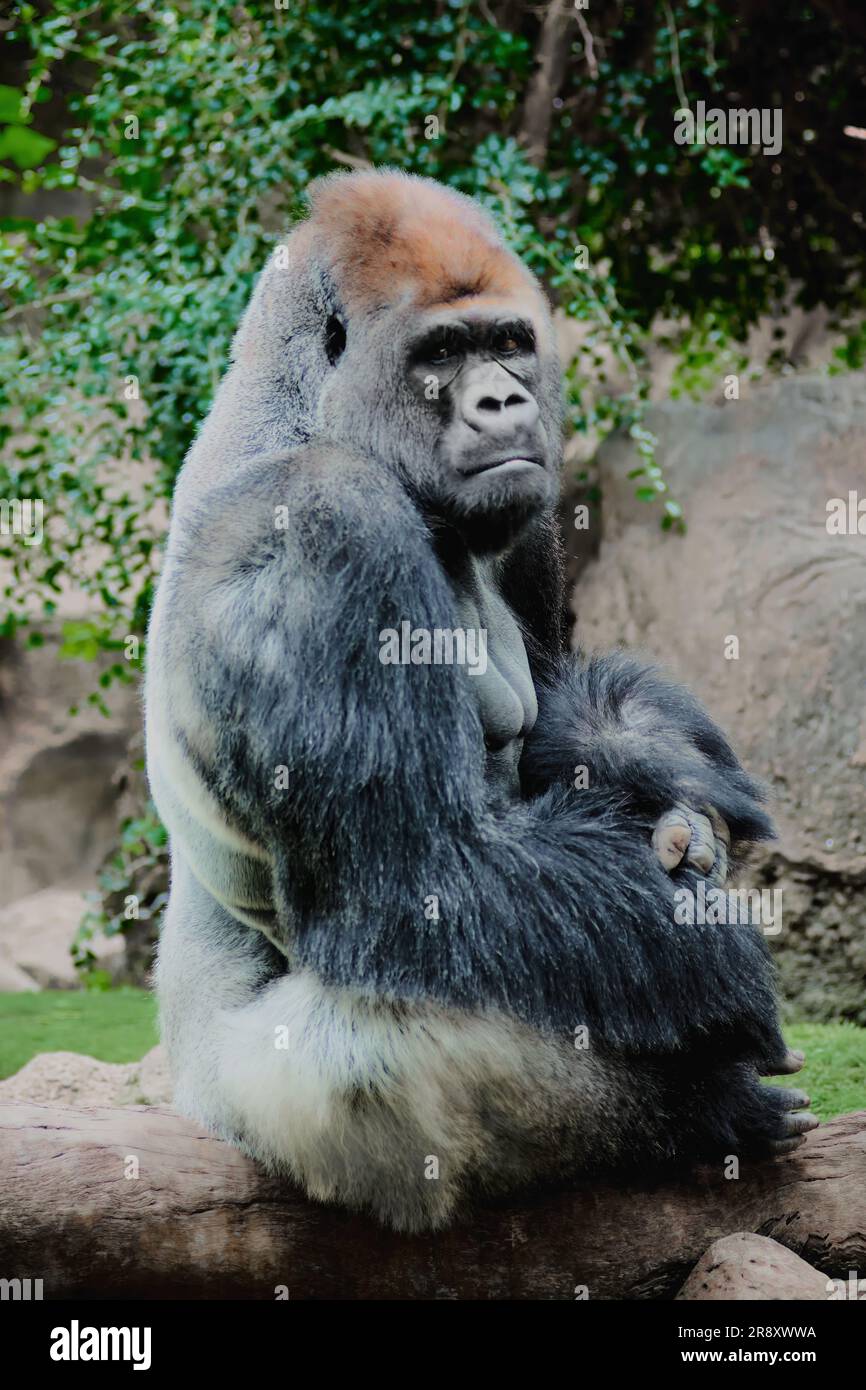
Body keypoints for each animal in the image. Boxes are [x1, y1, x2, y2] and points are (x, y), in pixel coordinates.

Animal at [146, 170, 815, 1232]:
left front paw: (673, 796)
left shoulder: (523, 506)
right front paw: (723, 963)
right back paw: (697, 1108)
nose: (503, 400)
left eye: (507, 342)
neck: (308, 409)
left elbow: (560, 713)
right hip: (257, 1103)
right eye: (442, 353)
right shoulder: (319, 524)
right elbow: (414, 880)